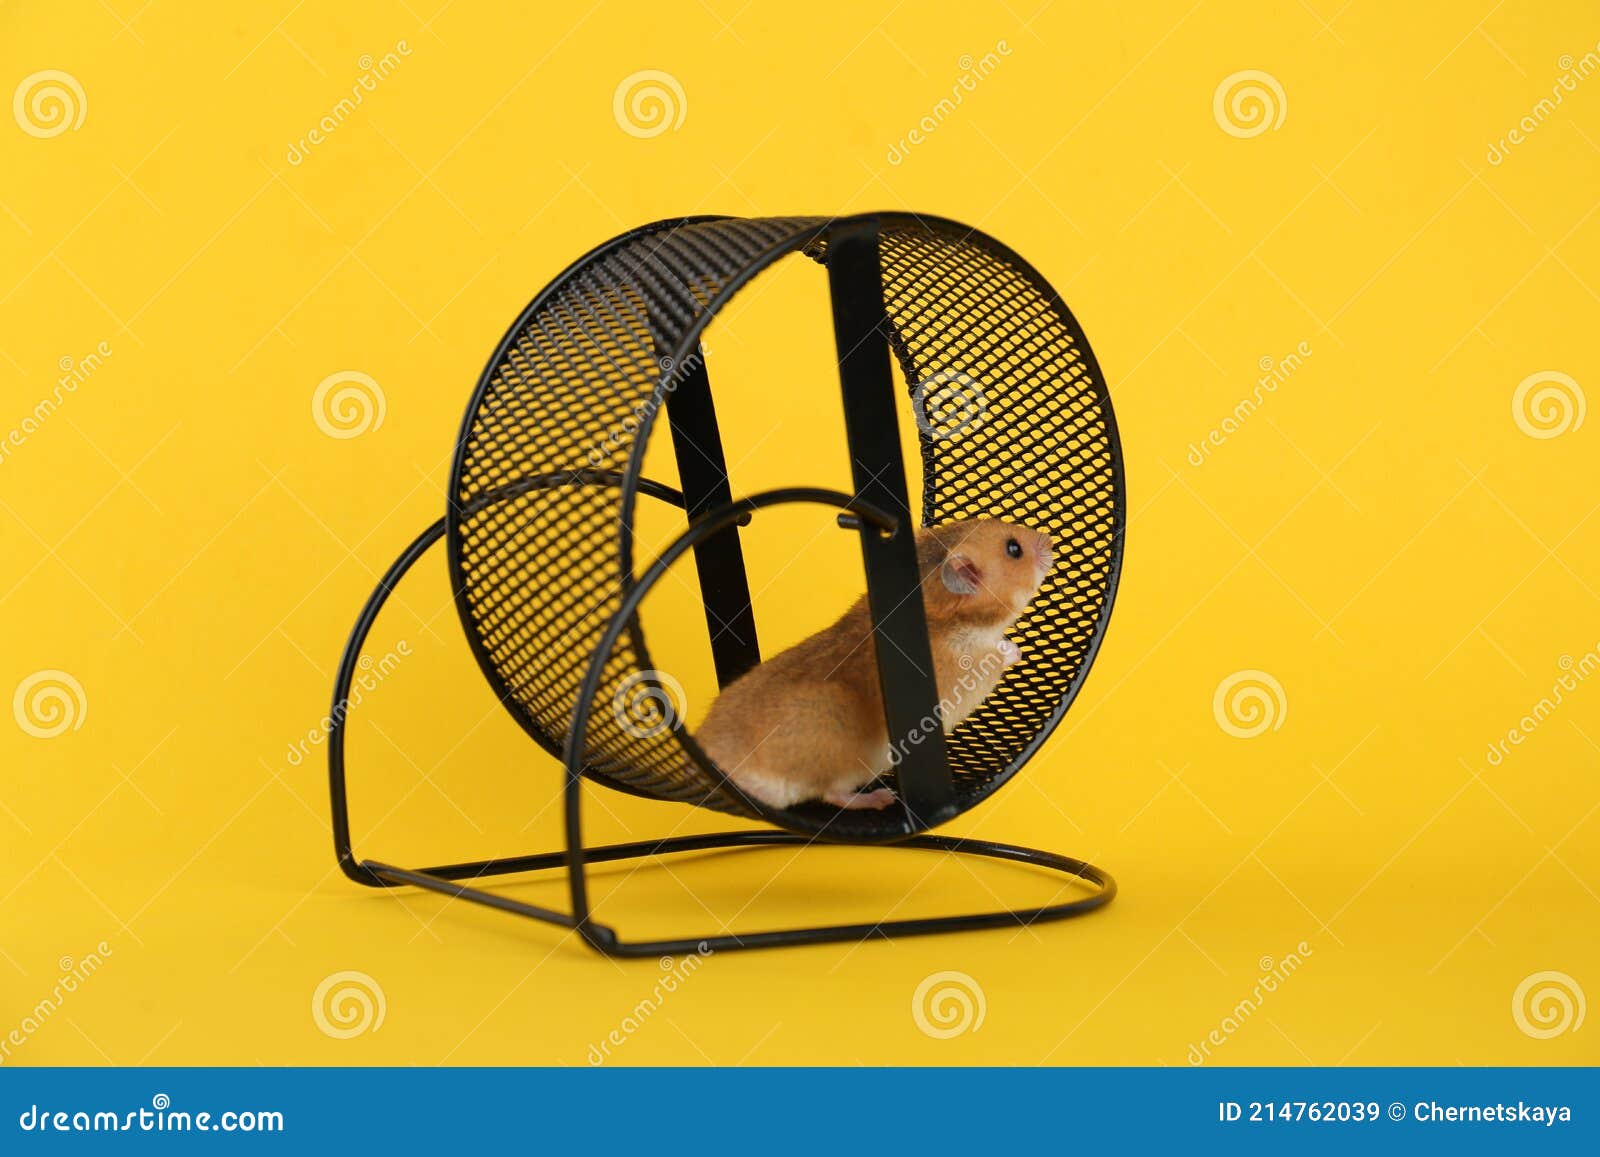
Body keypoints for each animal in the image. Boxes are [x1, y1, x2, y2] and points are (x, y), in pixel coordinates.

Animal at [693, 518, 1054, 811]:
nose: (1050, 539)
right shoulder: (968, 672)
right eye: (1013, 548)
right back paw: (882, 798)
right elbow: (994, 657)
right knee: (833, 794)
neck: (936, 606)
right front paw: (1015, 649)